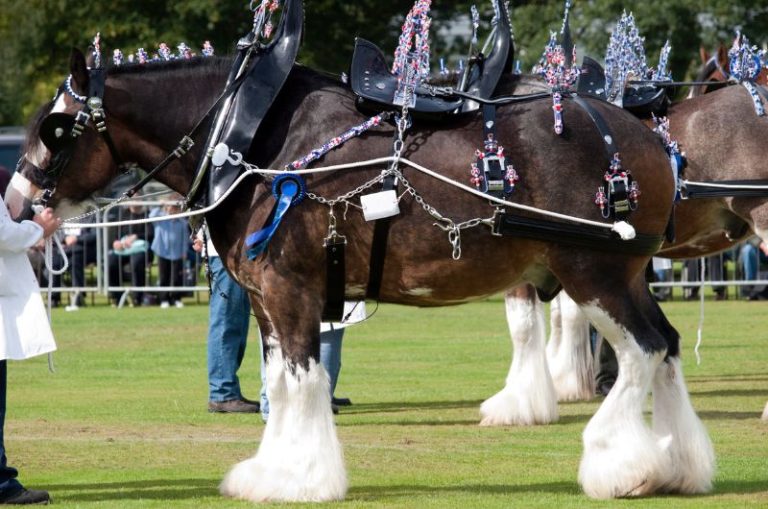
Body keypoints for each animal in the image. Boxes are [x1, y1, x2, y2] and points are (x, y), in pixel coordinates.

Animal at [9, 32, 713, 502]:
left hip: (594, 274)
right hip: (623, 276)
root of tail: (651, 139)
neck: (253, 141)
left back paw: (621, 465)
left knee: (644, 351)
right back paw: (680, 465)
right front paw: (270, 470)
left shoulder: (289, 290)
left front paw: (300, 475)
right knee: (669, 345)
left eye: (58, 129)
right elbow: (280, 383)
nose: (15, 204)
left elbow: (300, 382)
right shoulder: (266, 298)